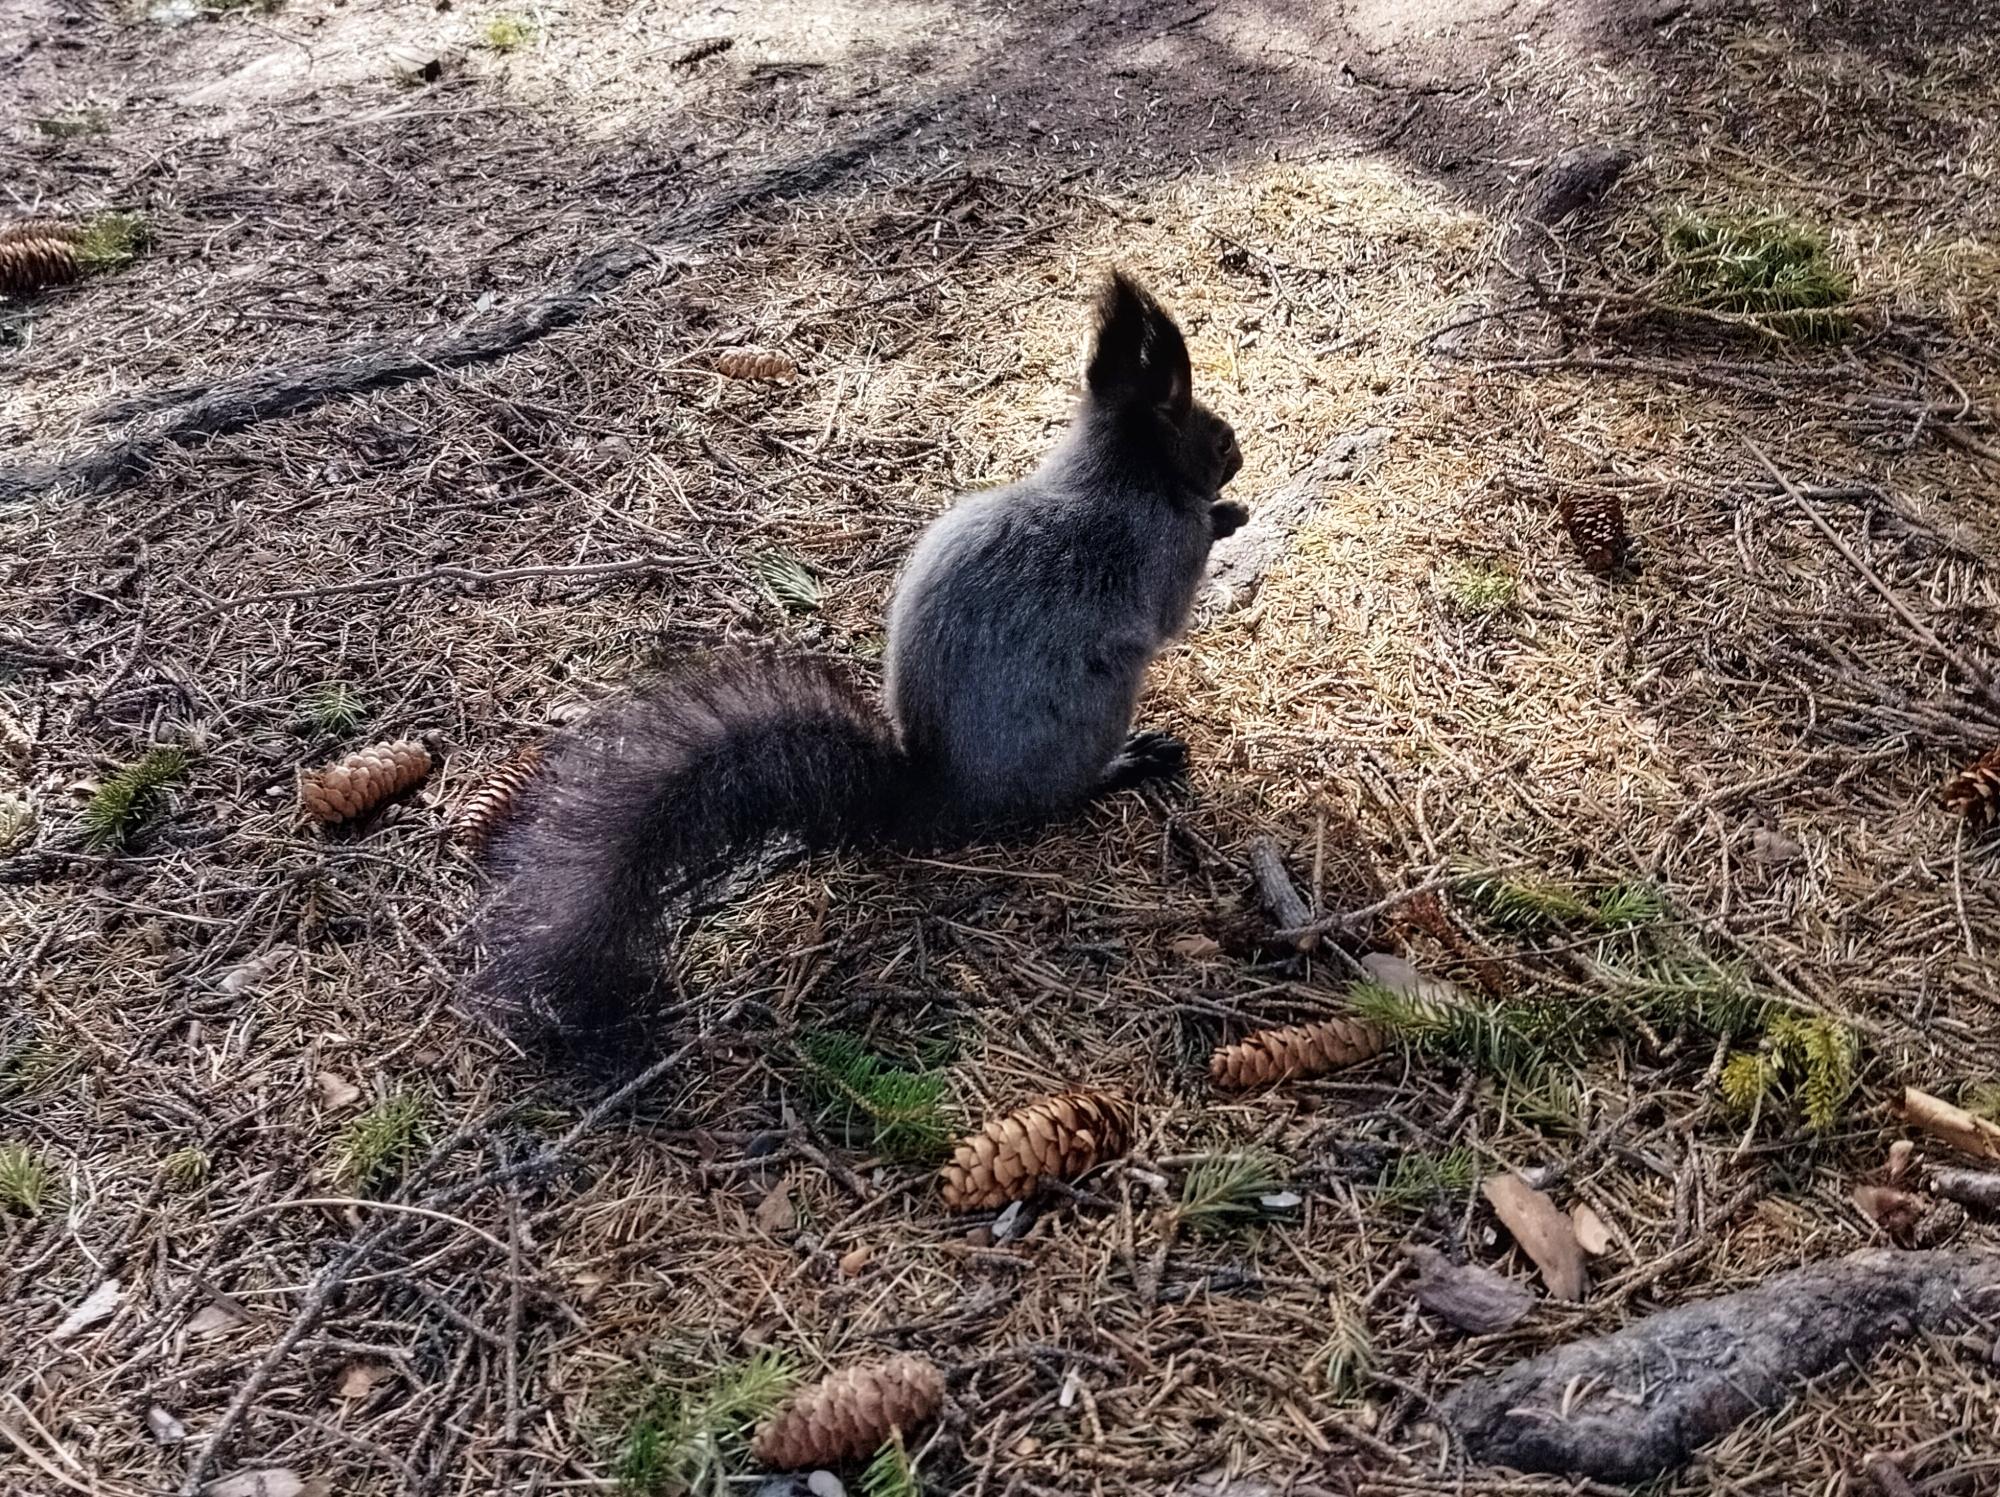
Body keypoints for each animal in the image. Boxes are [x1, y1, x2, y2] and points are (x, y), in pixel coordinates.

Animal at [476, 272, 1240, 1048]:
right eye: (1218, 438)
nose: (1237, 458)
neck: (1113, 477)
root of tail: (940, 792)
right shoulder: (1162, 550)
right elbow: (1176, 604)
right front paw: (1226, 517)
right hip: (1093, 713)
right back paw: (1127, 763)